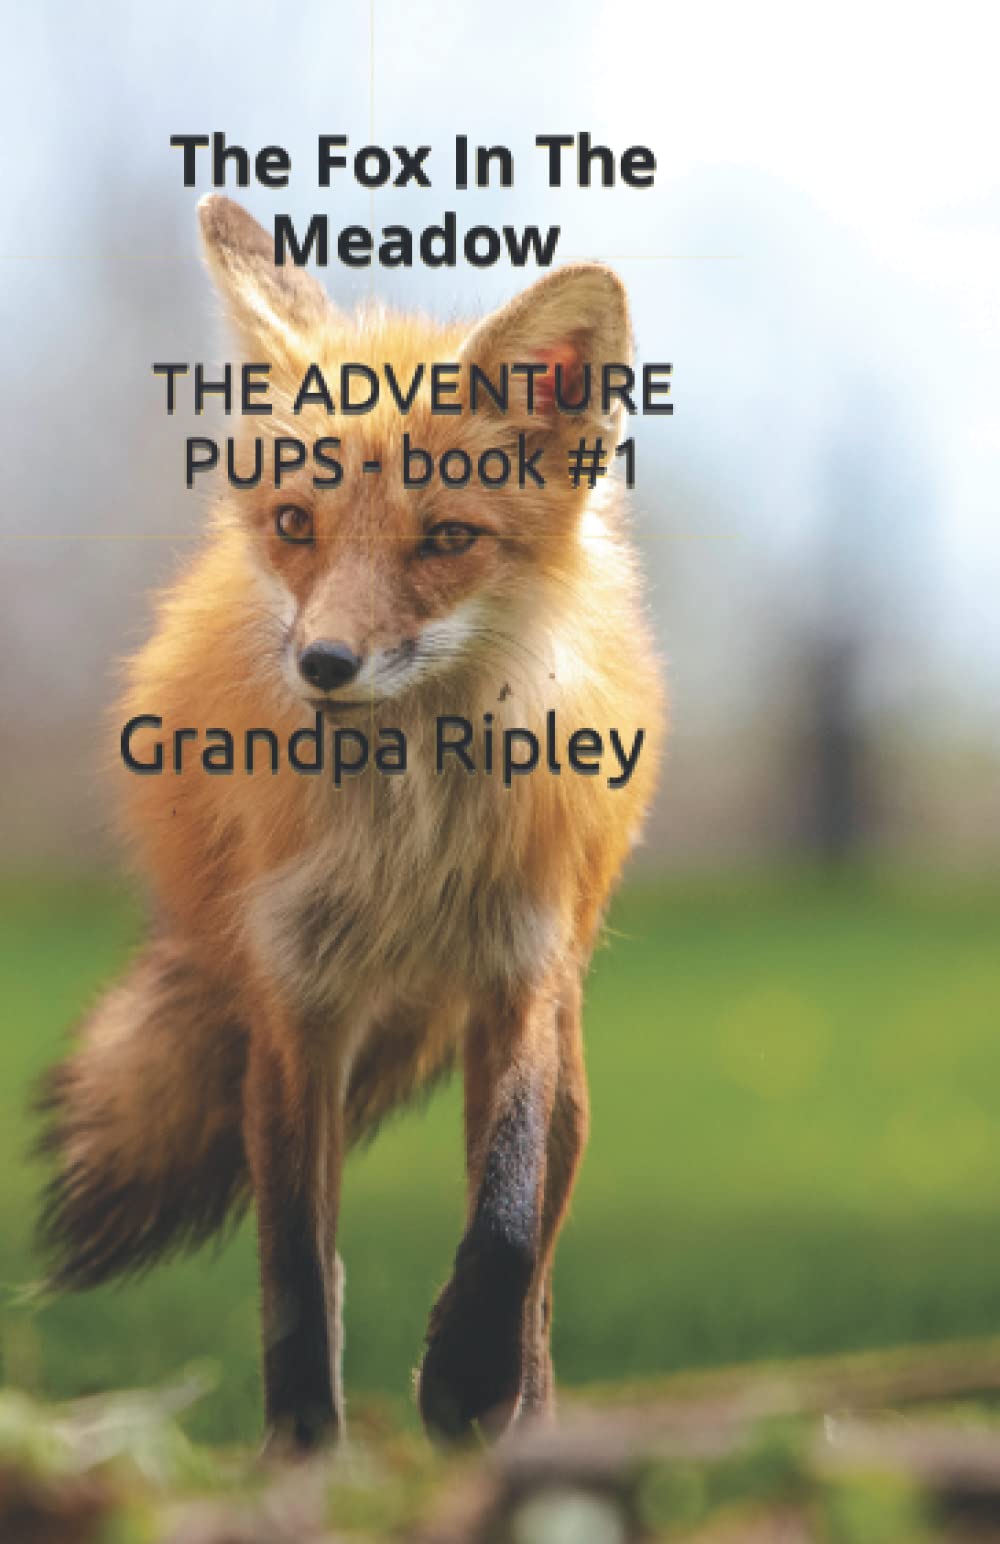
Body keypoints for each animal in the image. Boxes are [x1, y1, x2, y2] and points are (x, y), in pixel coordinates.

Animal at [36, 194, 664, 1452]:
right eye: (295, 522)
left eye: (446, 537)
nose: (323, 662)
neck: (406, 838)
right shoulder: (295, 1012)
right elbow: (294, 1275)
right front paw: (303, 1455)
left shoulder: (516, 976)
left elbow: (505, 1217)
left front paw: (465, 1371)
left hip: (560, 1046)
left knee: (539, 1263)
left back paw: (523, 1418)